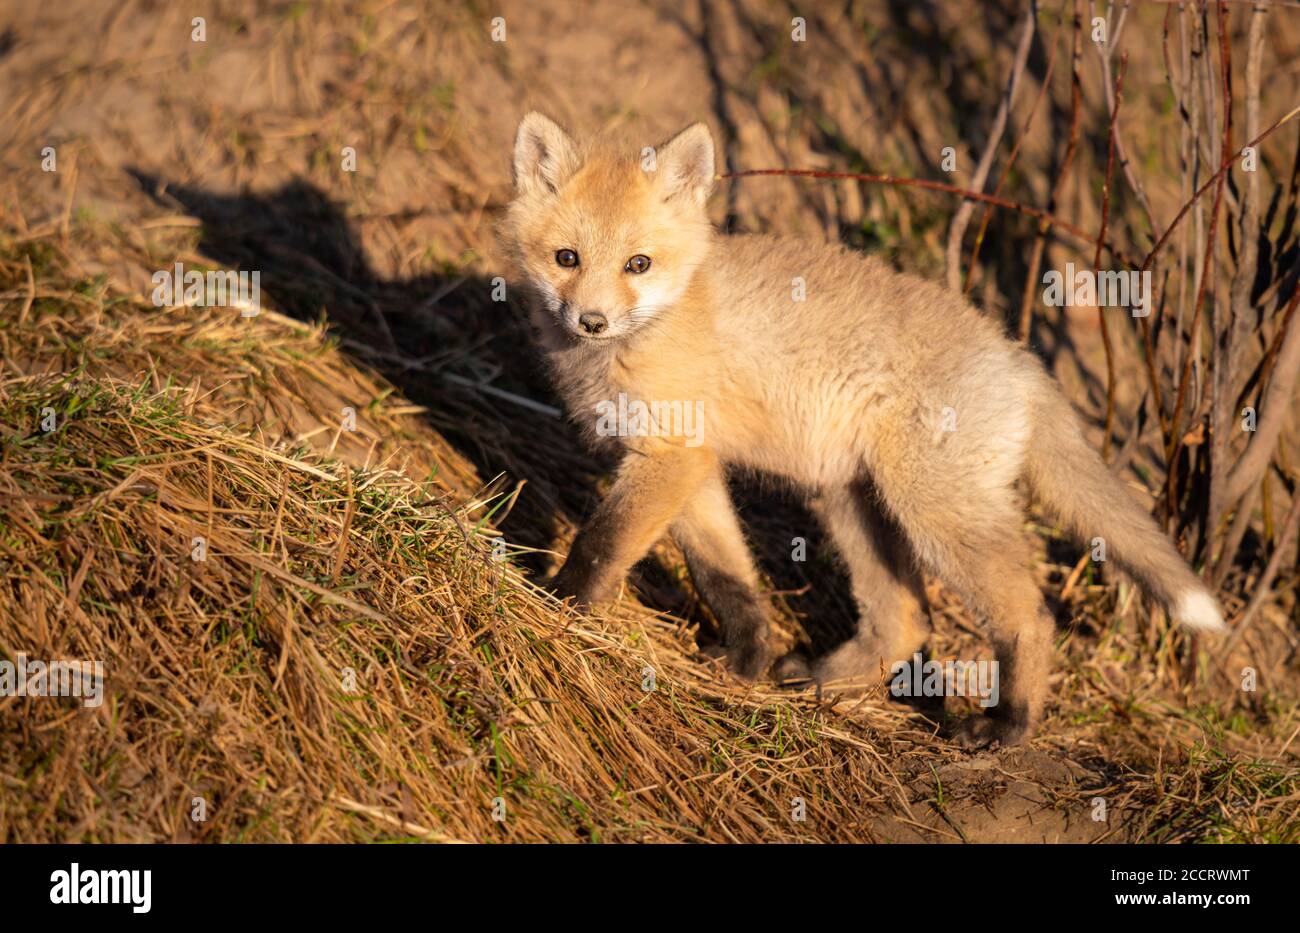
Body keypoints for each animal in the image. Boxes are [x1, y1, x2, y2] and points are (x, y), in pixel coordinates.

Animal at [501, 112, 1226, 746]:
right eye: (567, 257)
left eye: (638, 264)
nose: (591, 320)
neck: (650, 332)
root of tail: (1018, 357)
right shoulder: (689, 466)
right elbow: (726, 576)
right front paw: (747, 660)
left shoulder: (668, 456)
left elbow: (601, 543)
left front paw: (557, 604)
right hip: (852, 502)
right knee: (908, 621)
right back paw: (827, 680)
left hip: (933, 511)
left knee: (1029, 615)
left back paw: (1008, 724)